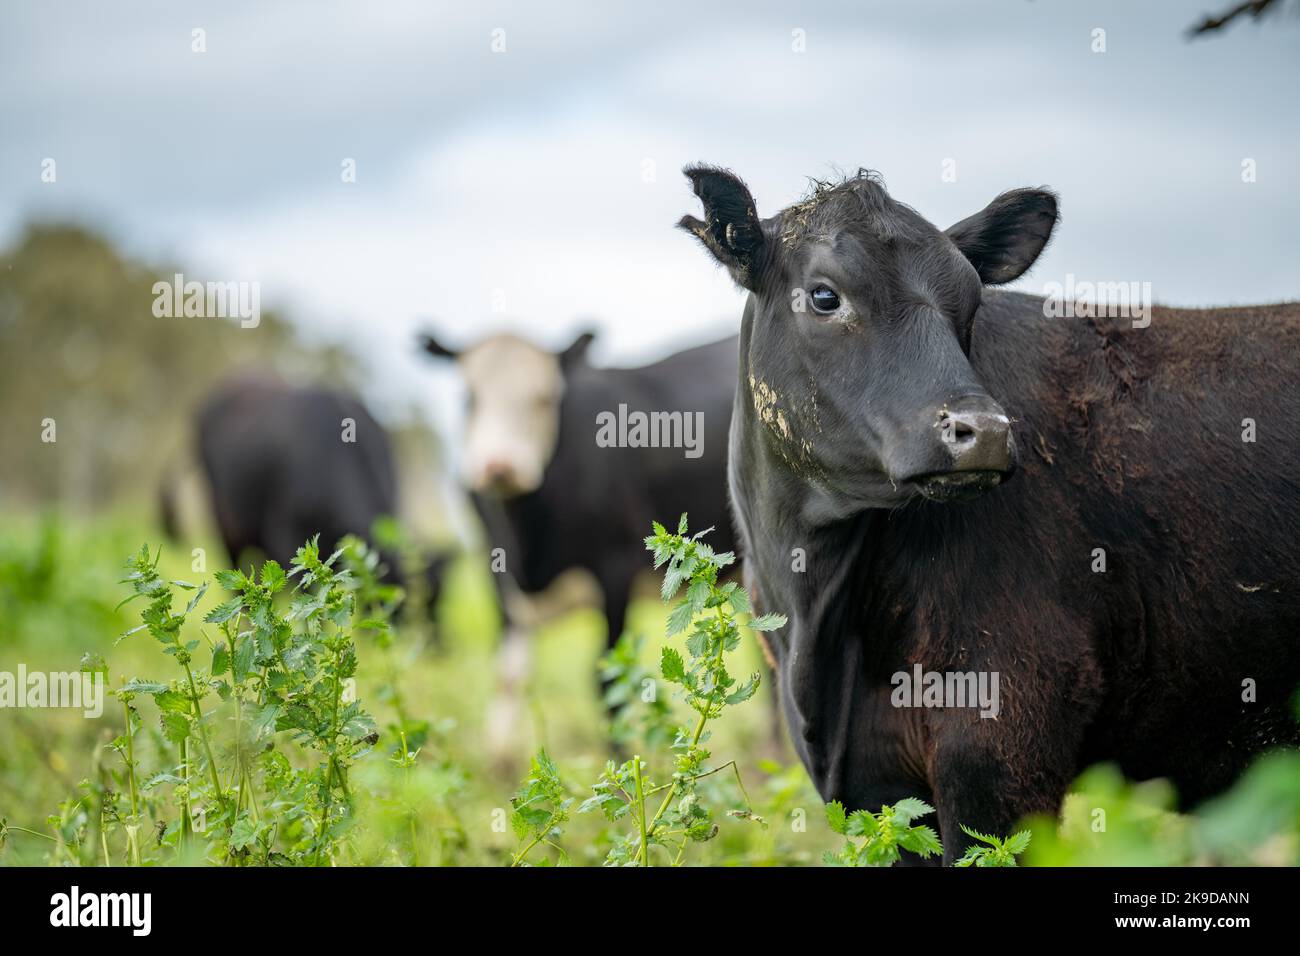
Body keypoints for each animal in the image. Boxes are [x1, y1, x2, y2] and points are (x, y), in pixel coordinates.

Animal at [418, 331, 741, 755]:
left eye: (544, 398)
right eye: (469, 397)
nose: (500, 466)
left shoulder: (616, 566)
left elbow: (607, 680)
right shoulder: (500, 576)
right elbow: (509, 676)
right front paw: (499, 759)